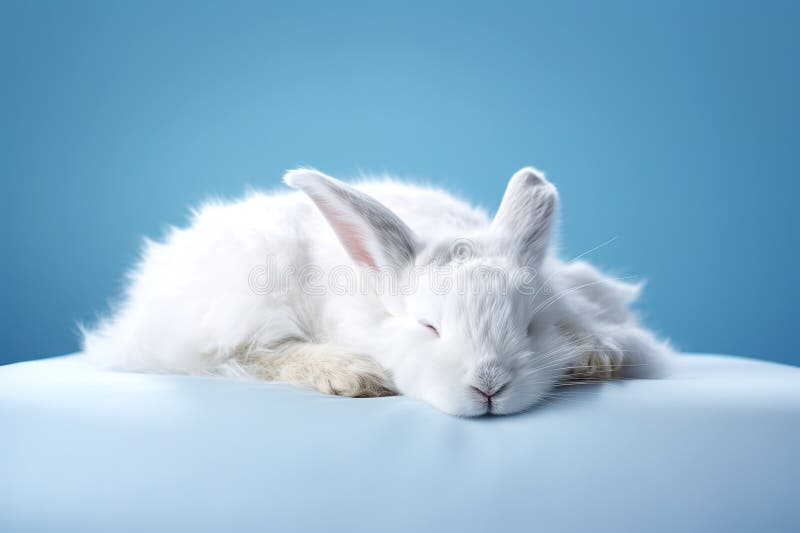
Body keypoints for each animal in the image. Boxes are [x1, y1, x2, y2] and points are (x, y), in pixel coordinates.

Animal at [83, 167, 672, 416]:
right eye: (428, 326)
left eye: (530, 326)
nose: (489, 386)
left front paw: (596, 357)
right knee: (250, 353)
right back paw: (351, 373)